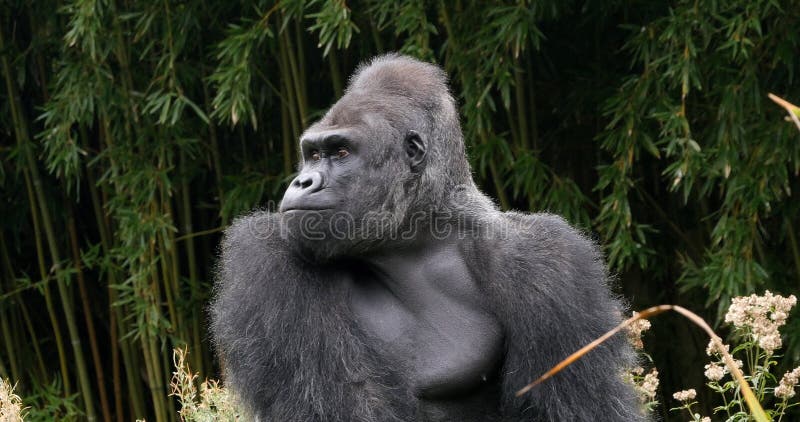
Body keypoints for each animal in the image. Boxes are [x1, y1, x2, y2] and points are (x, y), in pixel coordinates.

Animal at [210, 54, 645, 421]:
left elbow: (575, 405)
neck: (414, 241)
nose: (303, 181)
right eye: (313, 155)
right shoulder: (267, 256)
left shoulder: (546, 260)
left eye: (341, 152)